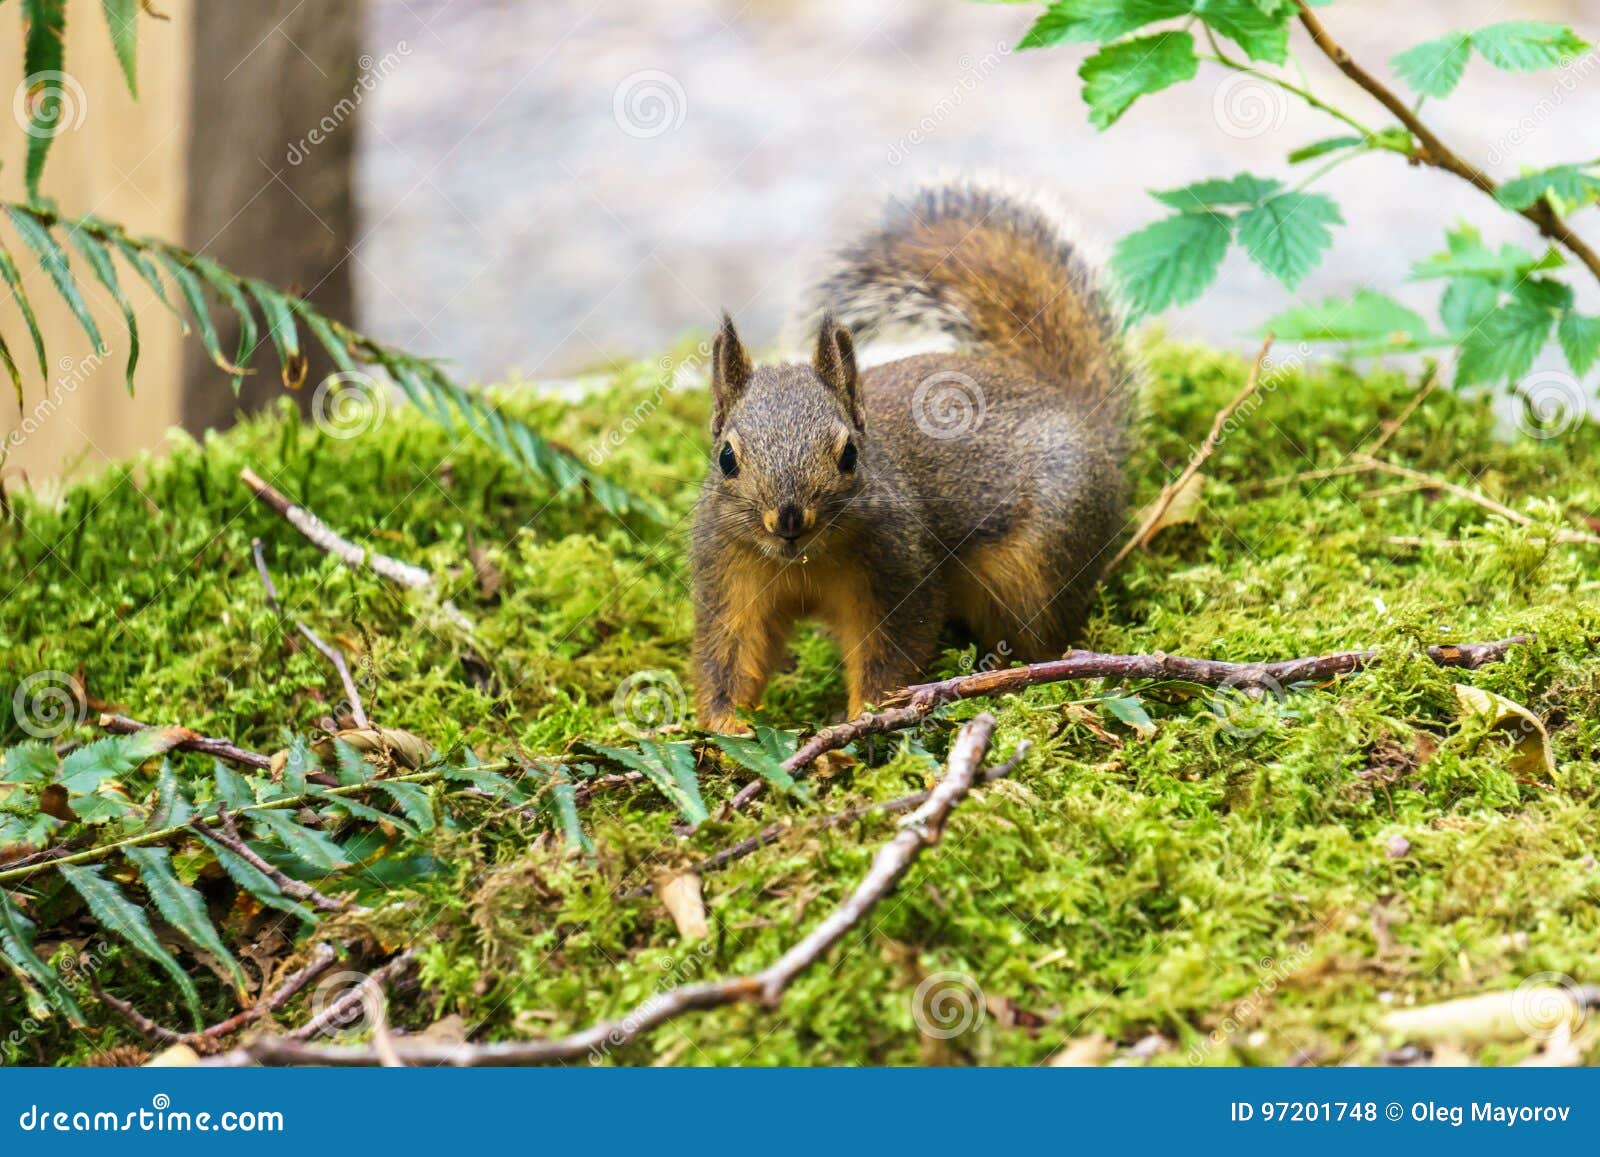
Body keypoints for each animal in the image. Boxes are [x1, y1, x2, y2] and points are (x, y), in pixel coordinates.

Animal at [689, 179, 1135, 733]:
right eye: (726, 458)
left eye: (850, 456)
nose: (788, 520)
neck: (804, 563)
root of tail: (1082, 417)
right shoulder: (729, 577)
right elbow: (729, 654)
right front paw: (723, 728)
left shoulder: (900, 571)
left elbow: (891, 653)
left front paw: (861, 721)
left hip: (1044, 560)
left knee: (1045, 632)